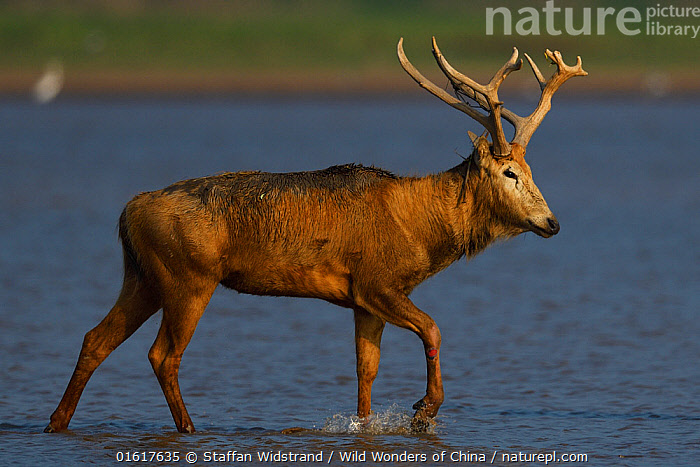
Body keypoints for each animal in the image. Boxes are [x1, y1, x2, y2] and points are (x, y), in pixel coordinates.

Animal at [44, 37, 586, 434]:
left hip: (142, 277)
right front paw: (424, 410)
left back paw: (56, 424)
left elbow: (366, 371)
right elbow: (433, 328)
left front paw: (369, 424)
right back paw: (189, 430)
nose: (552, 222)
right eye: (509, 172)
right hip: (188, 277)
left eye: (531, 169)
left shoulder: (364, 299)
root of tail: (128, 211)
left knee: (95, 339)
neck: (422, 229)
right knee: (163, 355)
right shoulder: (378, 281)